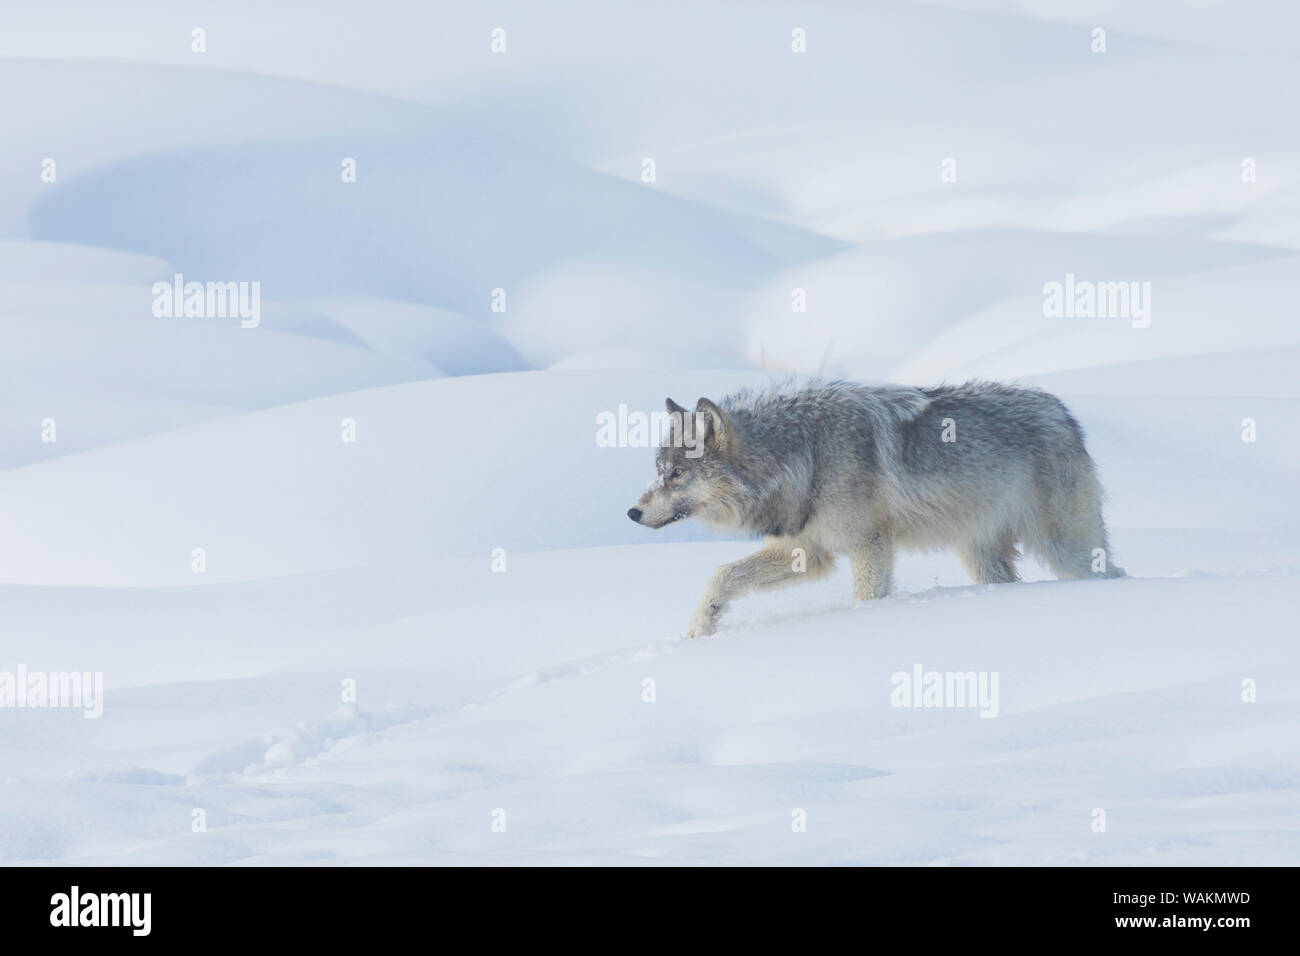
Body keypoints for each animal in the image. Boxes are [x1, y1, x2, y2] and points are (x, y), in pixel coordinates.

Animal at [627, 381, 1123, 637]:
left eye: (677, 474)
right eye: (658, 471)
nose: (633, 513)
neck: (804, 453)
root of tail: (1064, 414)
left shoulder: (871, 544)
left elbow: (866, 598)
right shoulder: (808, 551)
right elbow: (724, 574)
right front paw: (701, 625)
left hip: (1066, 548)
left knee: (1112, 574)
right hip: (981, 558)